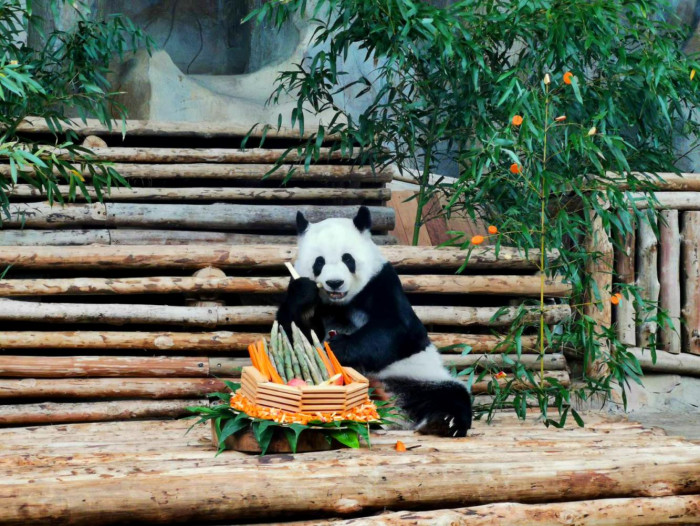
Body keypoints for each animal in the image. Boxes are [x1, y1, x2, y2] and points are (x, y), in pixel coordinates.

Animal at [276, 205, 472, 437]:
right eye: (319, 262)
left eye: (348, 259)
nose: (335, 283)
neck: (340, 302)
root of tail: (395, 413)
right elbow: (293, 335)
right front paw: (305, 297)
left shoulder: (382, 282)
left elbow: (396, 328)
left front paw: (336, 348)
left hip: (421, 376)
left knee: (452, 394)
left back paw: (444, 422)